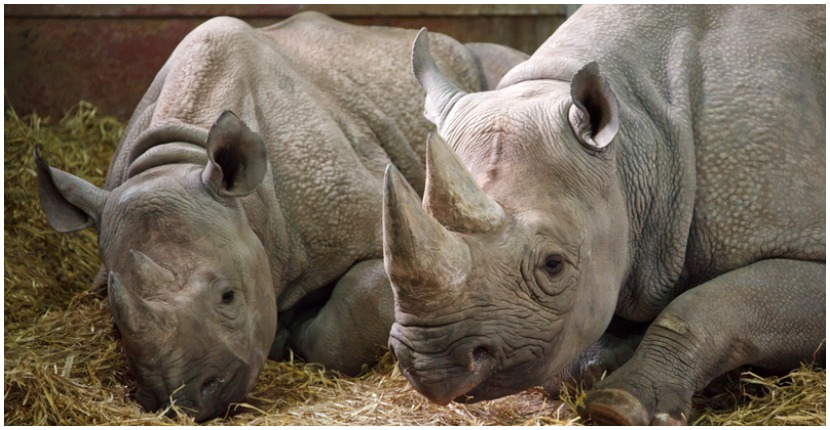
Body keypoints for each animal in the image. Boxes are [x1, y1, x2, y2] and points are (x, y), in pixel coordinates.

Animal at [383, 5, 825, 425]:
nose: (431, 364)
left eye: (554, 265)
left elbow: (713, 304)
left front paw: (619, 405)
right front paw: (618, 356)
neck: (638, 140)